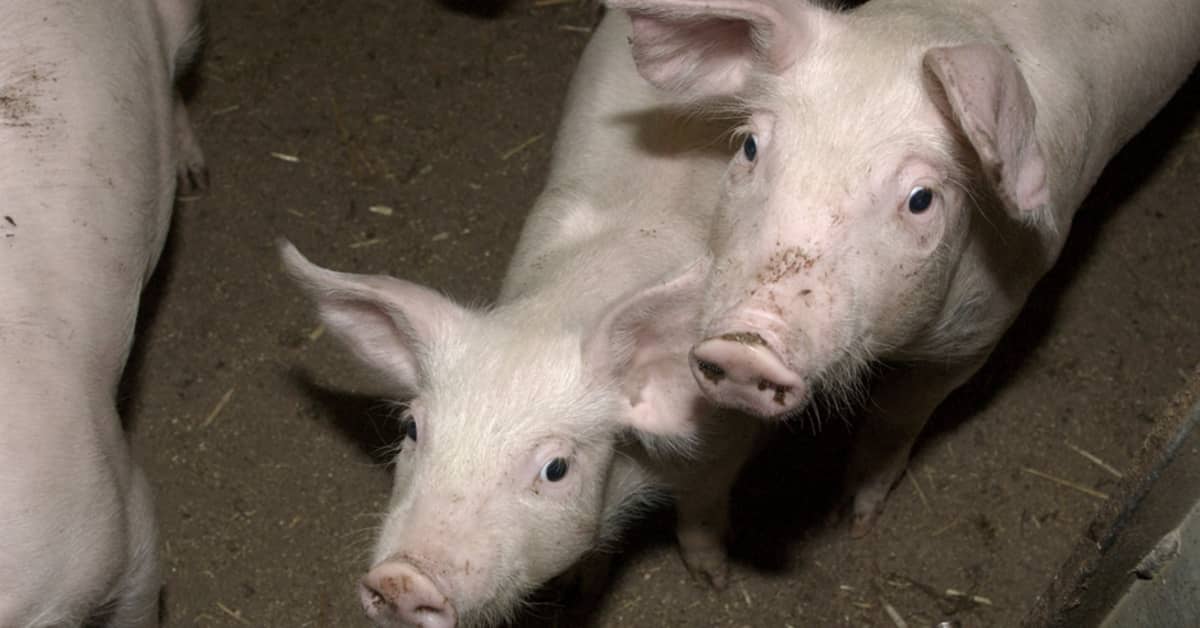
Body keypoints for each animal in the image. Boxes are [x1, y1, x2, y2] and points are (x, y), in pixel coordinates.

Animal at [280, 10, 757, 628]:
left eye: (555, 468)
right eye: (411, 429)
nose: (402, 578)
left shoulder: (732, 439)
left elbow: (702, 508)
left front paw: (714, 581)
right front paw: (577, 591)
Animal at [608, 0, 1200, 535]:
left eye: (921, 200)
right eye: (750, 146)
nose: (744, 346)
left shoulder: (979, 335)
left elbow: (898, 416)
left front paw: (856, 518)